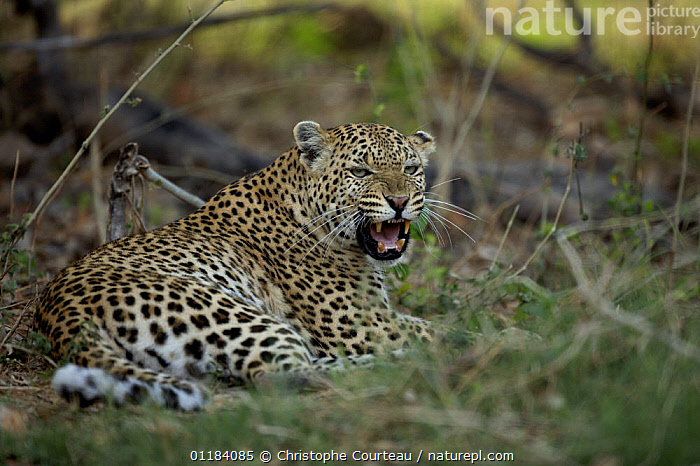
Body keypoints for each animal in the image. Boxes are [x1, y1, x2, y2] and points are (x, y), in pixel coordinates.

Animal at [35, 121, 439, 410]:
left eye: (411, 168)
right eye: (359, 171)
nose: (399, 201)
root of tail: (60, 313)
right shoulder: (358, 323)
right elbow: (432, 329)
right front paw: (451, 338)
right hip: (224, 308)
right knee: (287, 374)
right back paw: (408, 363)